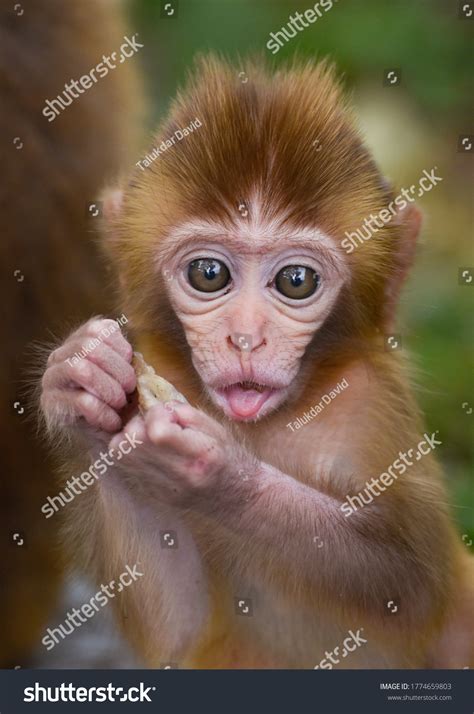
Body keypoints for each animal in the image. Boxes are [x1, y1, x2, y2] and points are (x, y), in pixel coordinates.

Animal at [39, 56, 473, 669]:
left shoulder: (372, 405)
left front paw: (220, 474)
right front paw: (83, 381)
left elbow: (411, 586)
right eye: (209, 274)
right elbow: (176, 627)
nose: (246, 338)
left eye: (296, 281)